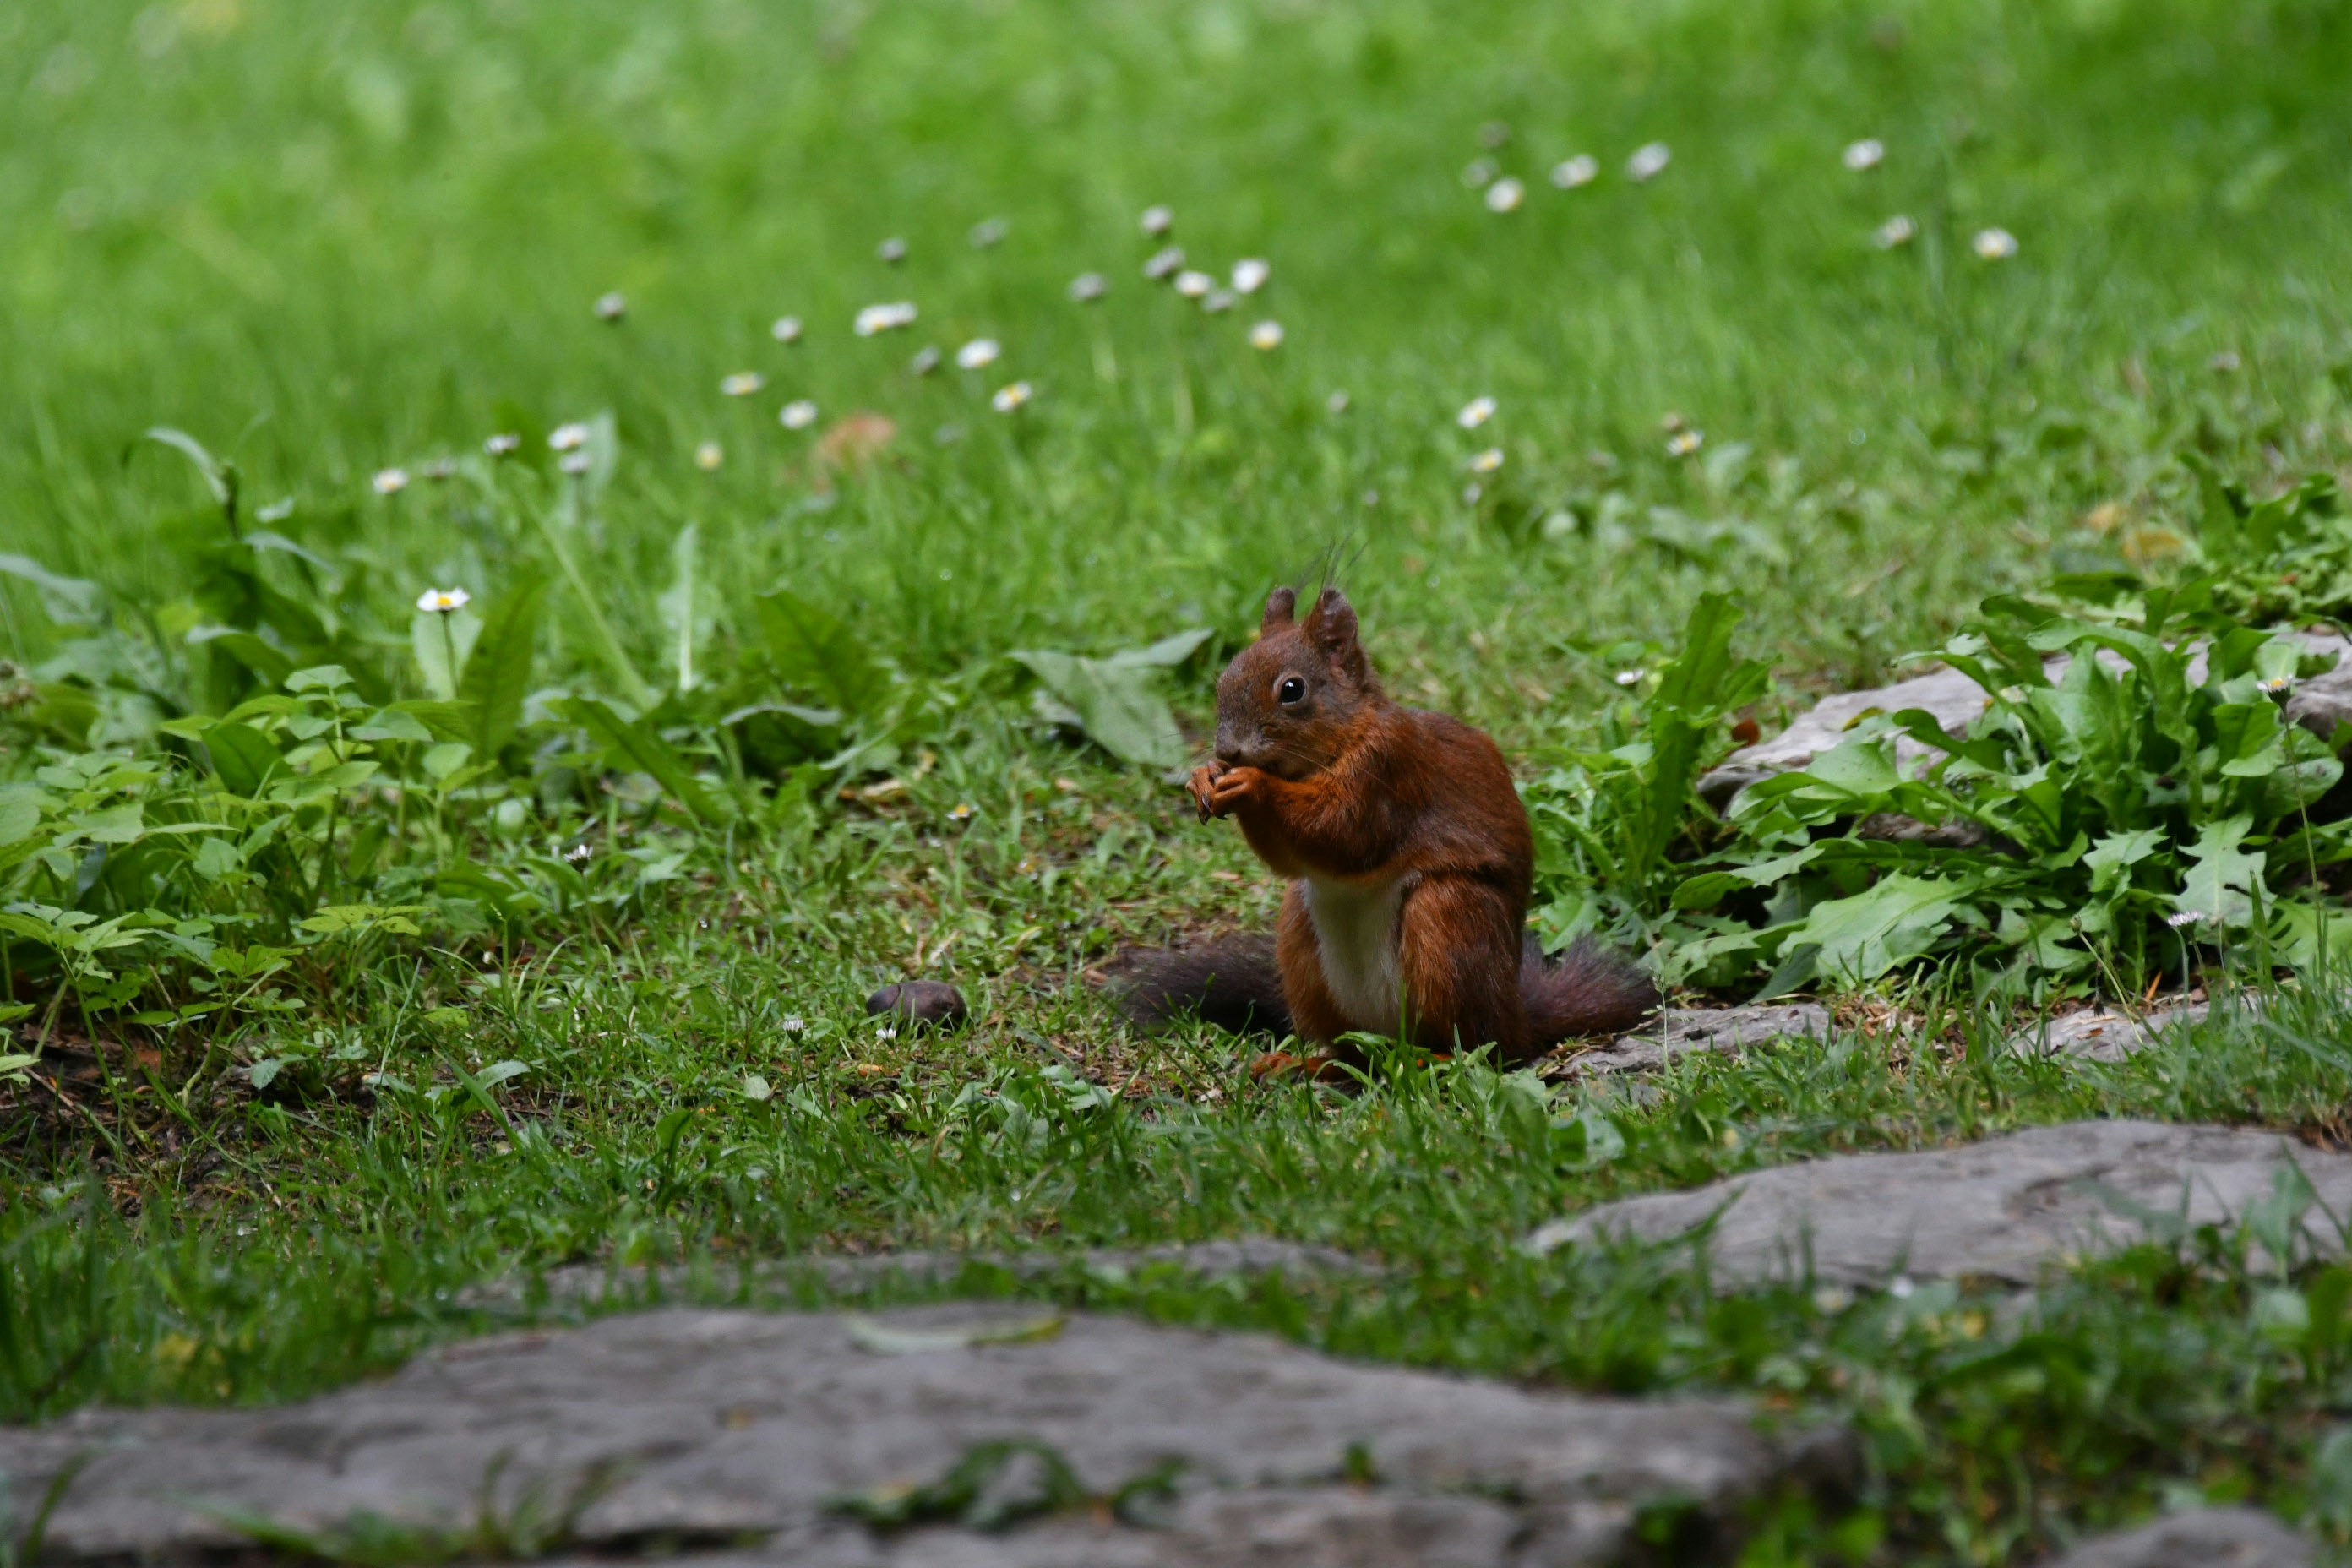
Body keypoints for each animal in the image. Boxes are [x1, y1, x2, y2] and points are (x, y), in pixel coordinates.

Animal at [1115, 585, 1656, 1068]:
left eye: (1292, 690)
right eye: (1224, 677)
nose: (1228, 751)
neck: (1336, 742)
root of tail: (1516, 1018)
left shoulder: (1390, 772)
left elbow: (1343, 835)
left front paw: (1252, 783)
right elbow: (1291, 859)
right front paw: (1203, 776)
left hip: (1449, 921)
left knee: (1483, 1048)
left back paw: (1434, 1058)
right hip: (1300, 940)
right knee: (1350, 1050)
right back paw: (1306, 1064)